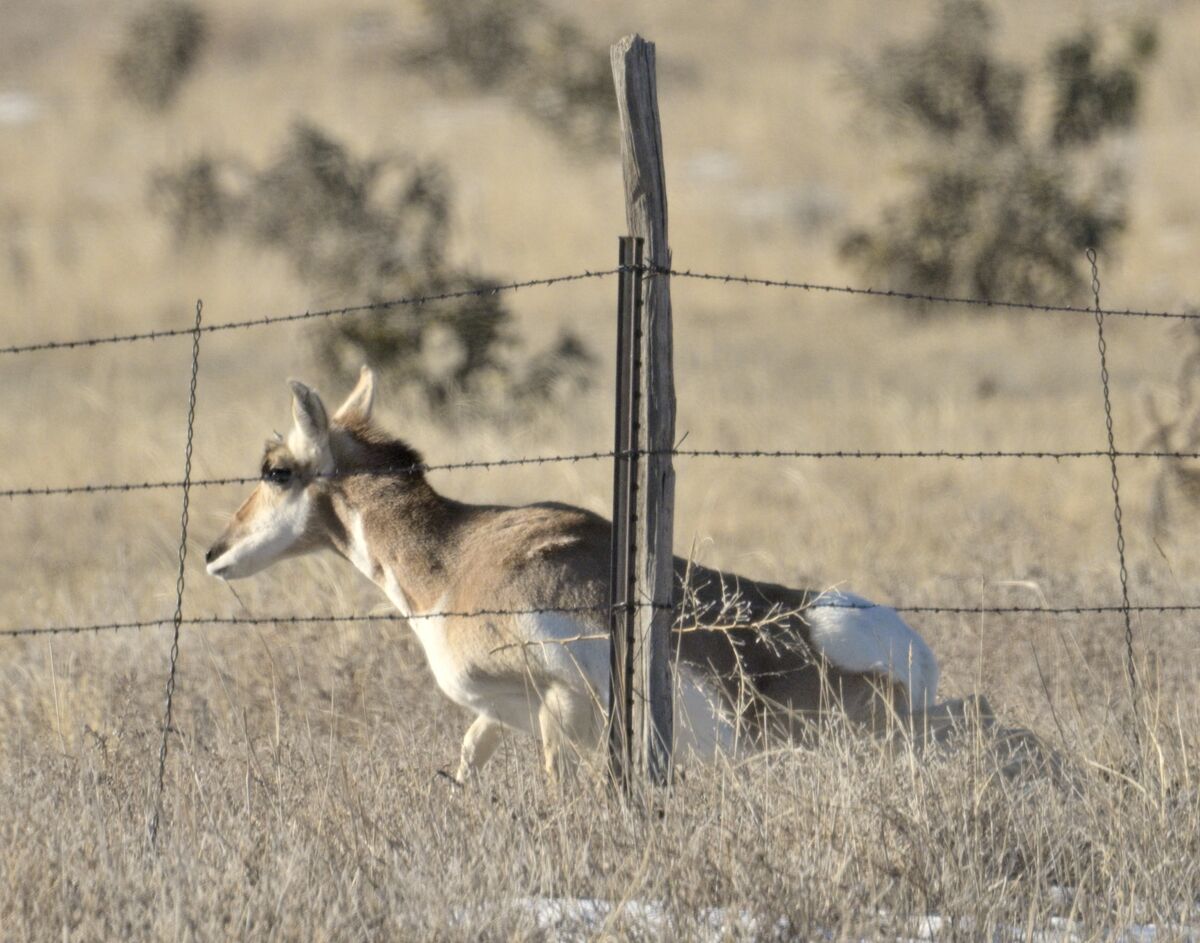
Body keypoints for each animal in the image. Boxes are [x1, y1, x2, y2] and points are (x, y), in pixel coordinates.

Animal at [206, 368, 943, 783]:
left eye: (277, 469)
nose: (215, 553)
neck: (457, 558)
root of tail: (906, 651)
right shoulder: (494, 716)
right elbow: (463, 767)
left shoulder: (554, 709)